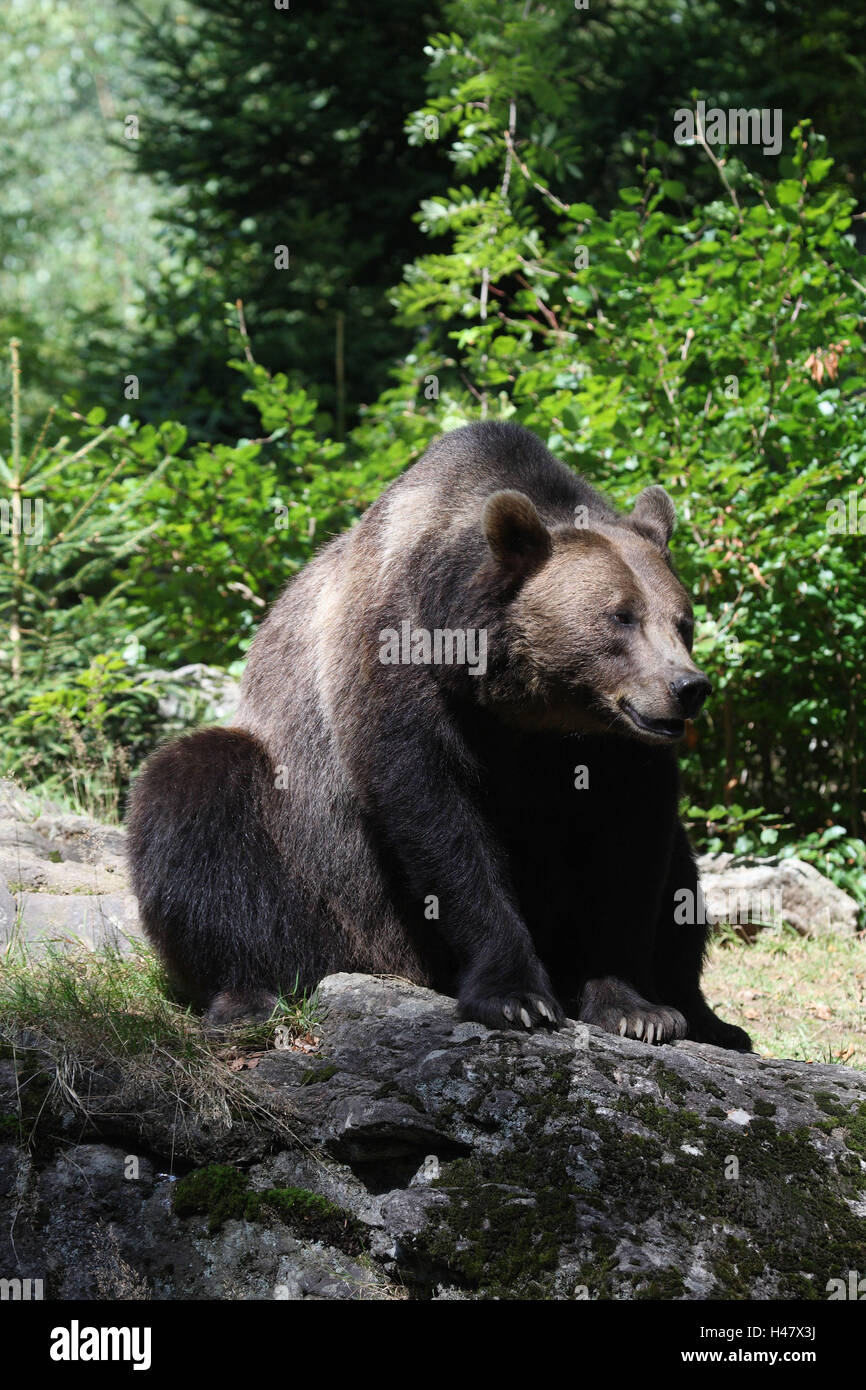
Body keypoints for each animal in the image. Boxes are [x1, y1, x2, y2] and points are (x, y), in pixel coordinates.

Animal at [127, 420, 750, 1050]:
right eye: (620, 616)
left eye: (682, 621)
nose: (687, 686)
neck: (528, 706)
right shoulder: (401, 664)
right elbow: (436, 815)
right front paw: (516, 997)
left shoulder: (613, 748)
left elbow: (633, 852)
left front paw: (636, 1008)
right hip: (323, 890)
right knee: (200, 802)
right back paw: (245, 997)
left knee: (683, 877)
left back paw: (712, 1021)